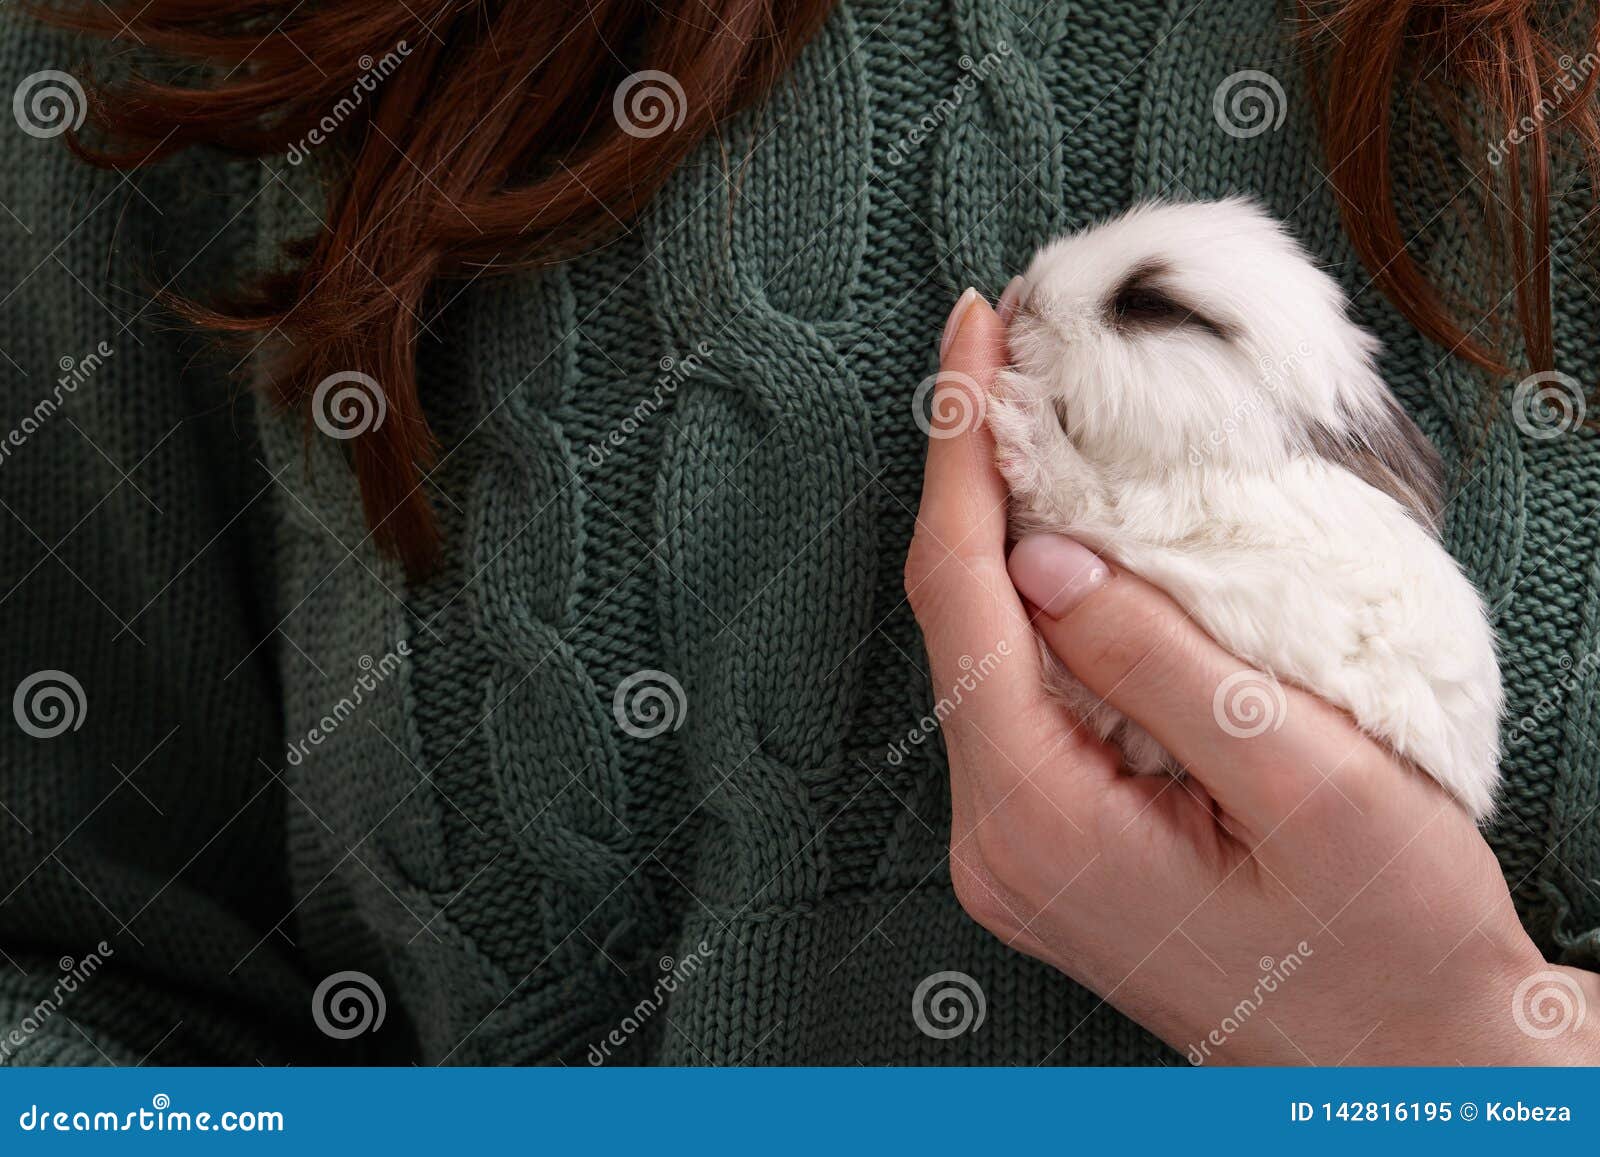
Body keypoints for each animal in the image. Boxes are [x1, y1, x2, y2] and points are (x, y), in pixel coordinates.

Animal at [986, 197, 1503, 820]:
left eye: (1147, 304)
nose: (1028, 295)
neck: (1229, 448)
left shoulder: (1141, 517)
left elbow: (1073, 491)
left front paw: (1018, 413)